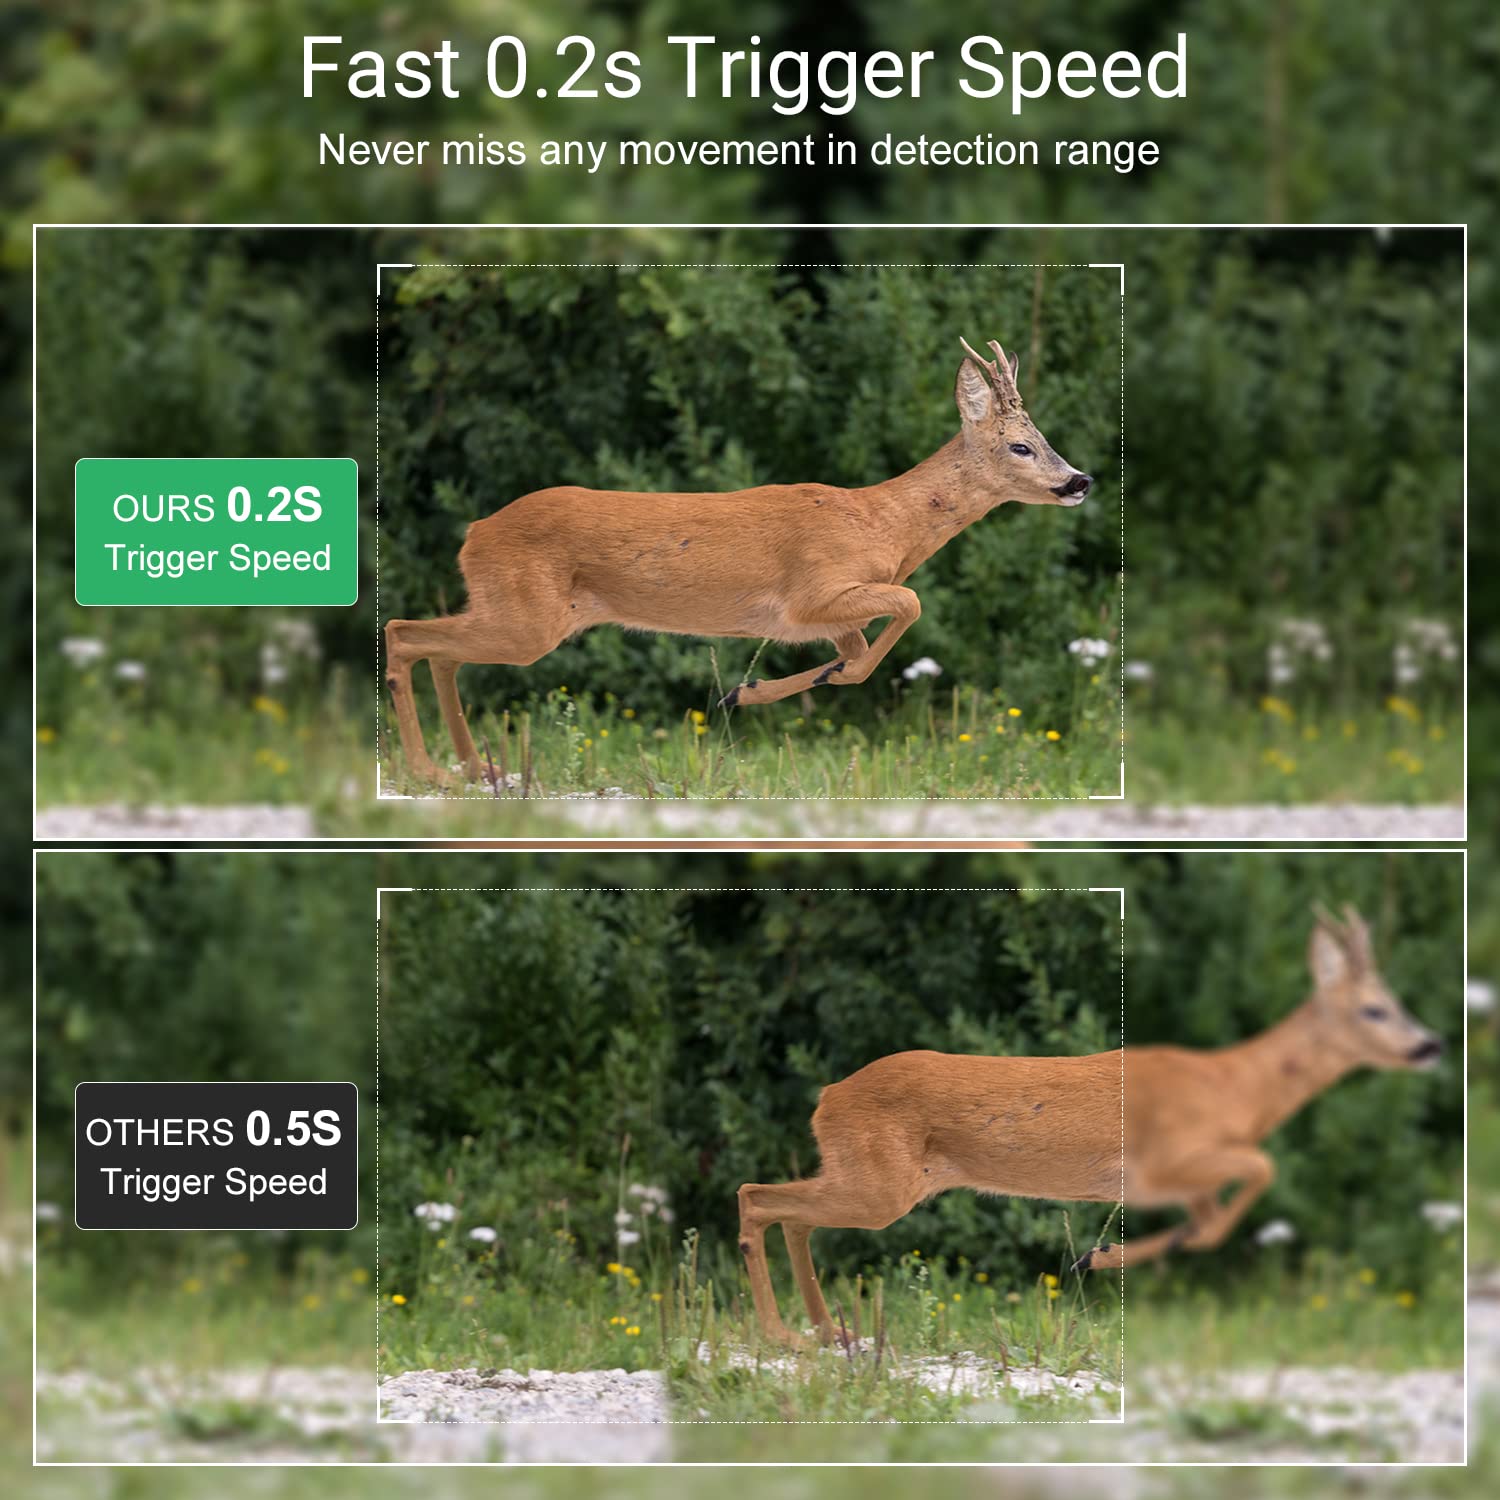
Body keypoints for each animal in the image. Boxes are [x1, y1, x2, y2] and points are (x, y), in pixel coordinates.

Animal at [383, 336, 1092, 786]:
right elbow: (909, 606)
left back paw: (475, 769)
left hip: (515, 613)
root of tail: (474, 532)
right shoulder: (812, 589)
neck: (884, 525)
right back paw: (429, 771)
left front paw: (764, 687)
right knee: (405, 633)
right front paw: (743, 692)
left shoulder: (832, 613)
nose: (1079, 479)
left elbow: (861, 656)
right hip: (526, 618)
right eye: (1022, 446)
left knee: (438, 650)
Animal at [736, 905, 1442, 1346]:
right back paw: (783, 1336)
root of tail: (826, 1096)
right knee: (757, 1197)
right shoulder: (1166, 1160)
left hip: (867, 1174)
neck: (1238, 1089)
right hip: (880, 1182)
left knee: (791, 1214)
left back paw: (829, 1332)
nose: (1431, 1044)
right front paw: (1094, 1258)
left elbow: (1213, 1219)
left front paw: (1108, 1253)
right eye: (1376, 1009)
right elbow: (1258, 1172)